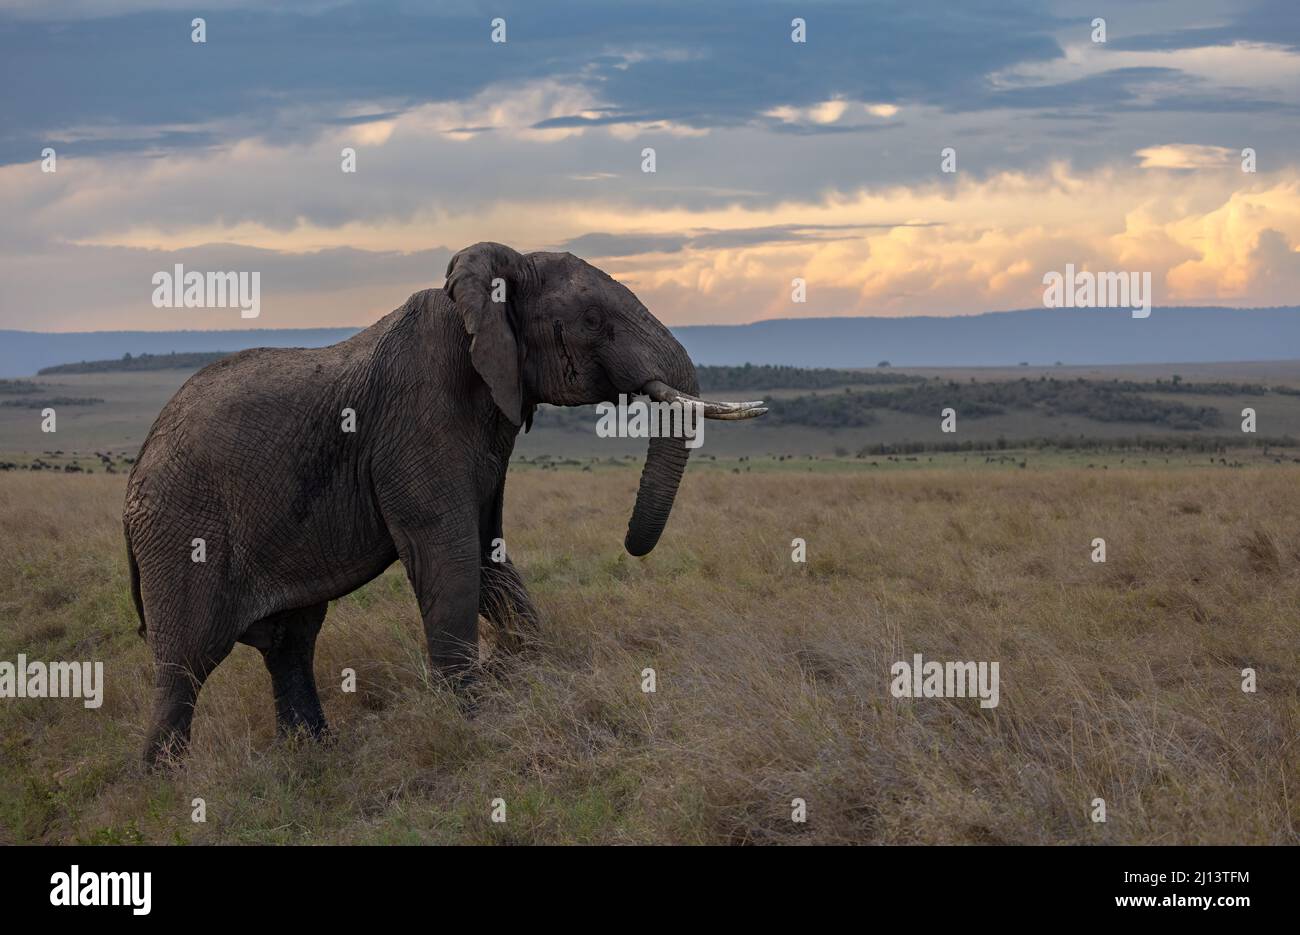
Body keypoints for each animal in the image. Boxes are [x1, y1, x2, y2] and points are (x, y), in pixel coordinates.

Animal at [123, 242, 766, 768]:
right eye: (592, 321)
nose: (631, 546)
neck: (483, 294)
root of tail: (139, 462)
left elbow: (488, 555)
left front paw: (531, 676)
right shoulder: (419, 418)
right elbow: (450, 558)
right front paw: (470, 724)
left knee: (290, 643)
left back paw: (314, 758)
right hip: (181, 527)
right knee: (184, 667)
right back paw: (167, 788)